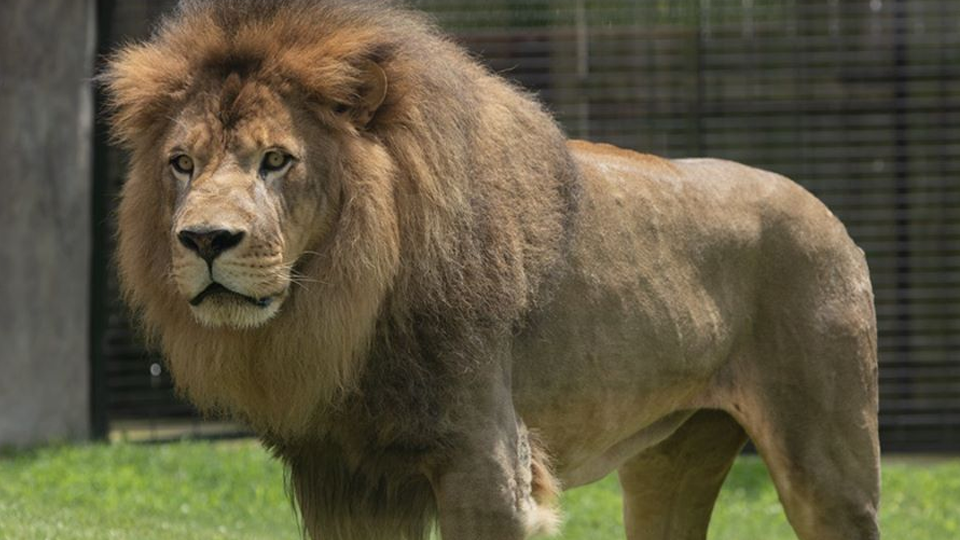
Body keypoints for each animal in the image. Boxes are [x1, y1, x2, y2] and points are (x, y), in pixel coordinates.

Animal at [103, 1, 881, 539]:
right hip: (670, 461)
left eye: (275, 159)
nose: (205, 239)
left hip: (831, 469)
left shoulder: (488, 467)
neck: (350, 308)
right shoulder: (345, 481)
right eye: (183, 164)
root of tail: (831, 214)